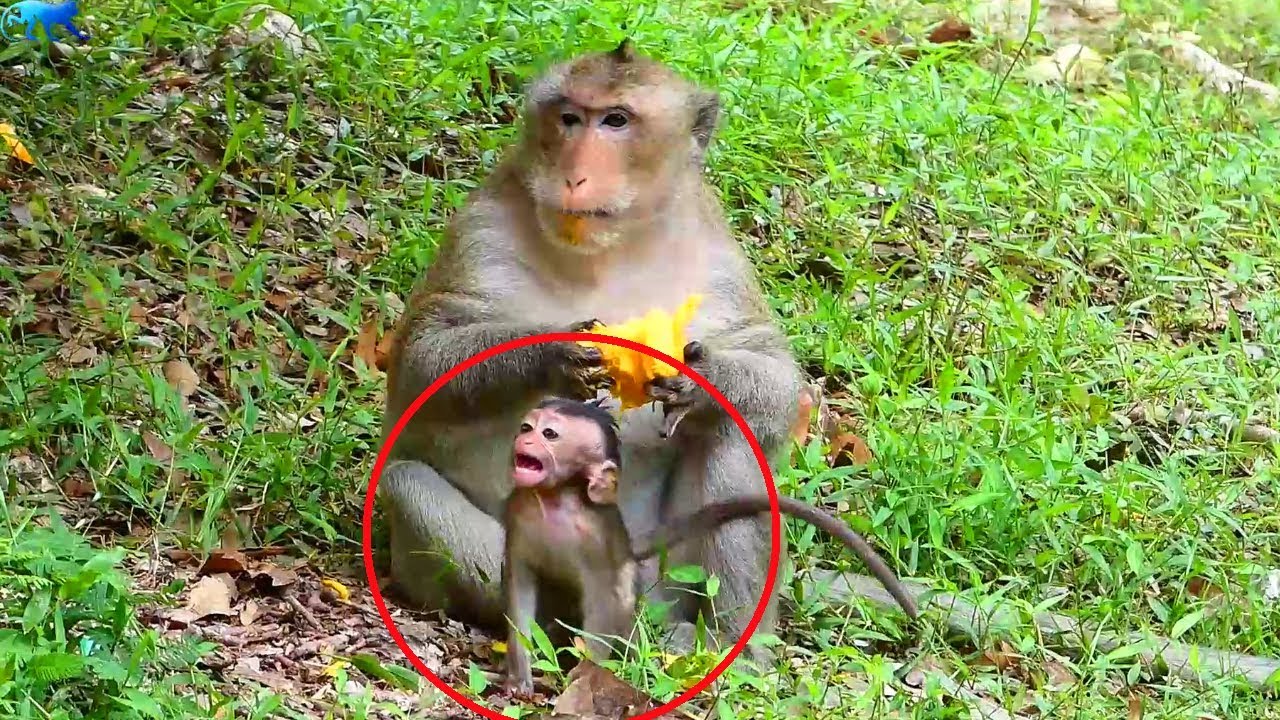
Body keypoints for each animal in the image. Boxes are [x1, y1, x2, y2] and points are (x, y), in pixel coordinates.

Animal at [380, 39, 807, 657]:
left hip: (667, 577)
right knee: (408, 485)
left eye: (616, 121)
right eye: (569, 118)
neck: (608, 253)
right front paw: (553, 356)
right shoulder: (481, 231)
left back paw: (729, 644)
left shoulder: (718, 257)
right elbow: (421, 361)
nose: (574, 175)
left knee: (733, 432)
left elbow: (774, 372)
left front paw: (701, 382)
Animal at [500, 397, 918, 696]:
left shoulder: (596, 537)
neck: (554, 501)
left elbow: (608, 600)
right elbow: (519, 586)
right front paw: (521, 675)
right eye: (526, 426)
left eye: (549, 434)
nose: (523, 438)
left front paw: (589, 670)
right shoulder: (519, 512)